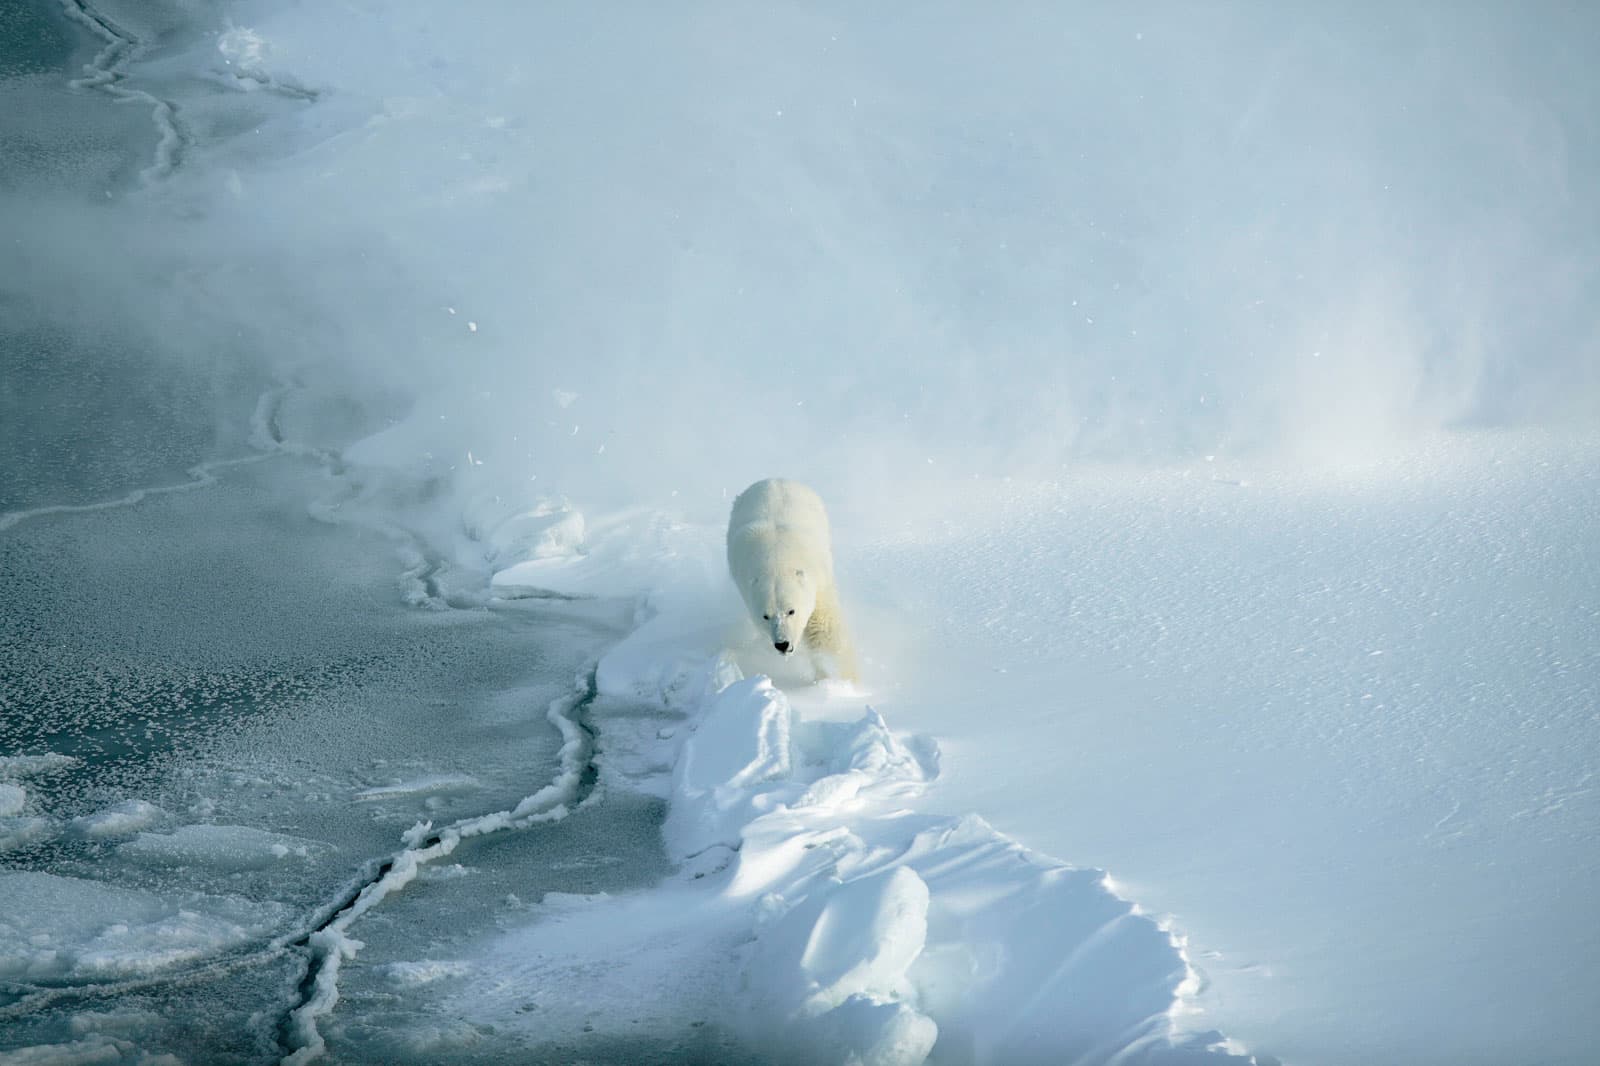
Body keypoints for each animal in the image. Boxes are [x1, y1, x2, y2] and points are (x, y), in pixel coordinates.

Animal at [726, 478, 859, 683]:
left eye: (791, 611)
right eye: (765, 616)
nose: (782, 644)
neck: (777, 558)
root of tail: (773, 479)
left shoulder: (817, 577)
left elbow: (824, 629)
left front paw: (846, 679)